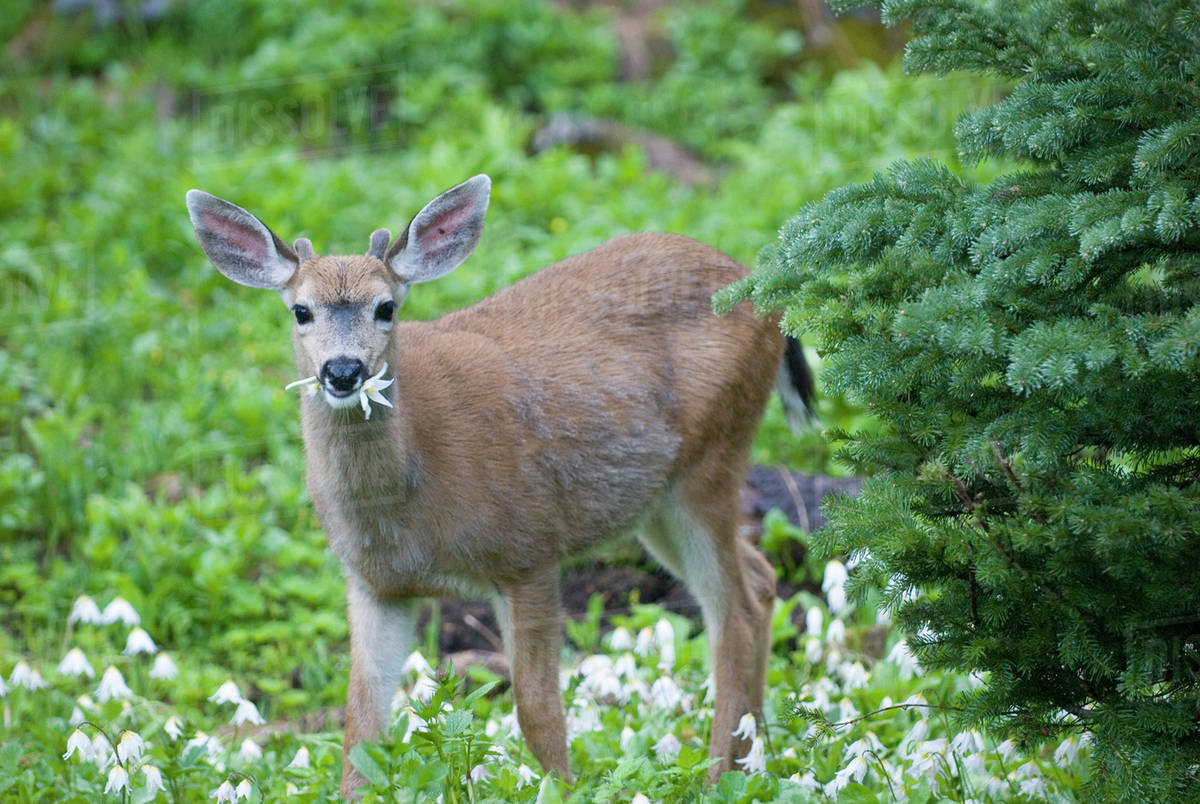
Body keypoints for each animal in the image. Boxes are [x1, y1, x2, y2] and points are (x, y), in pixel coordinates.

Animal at [184, 175, 814, 798]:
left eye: (386, 307)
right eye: (301, 311)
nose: (343, 371)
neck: (410, 504)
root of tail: (761, 287)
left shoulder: (529, 550)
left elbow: (538, 716)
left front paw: (562, 788)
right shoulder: (373, 584)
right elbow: (360, 730)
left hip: (712, 458)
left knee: (734, 608)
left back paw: (718, 775)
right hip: (655, 502)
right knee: (759, 580)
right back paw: (753, 758)